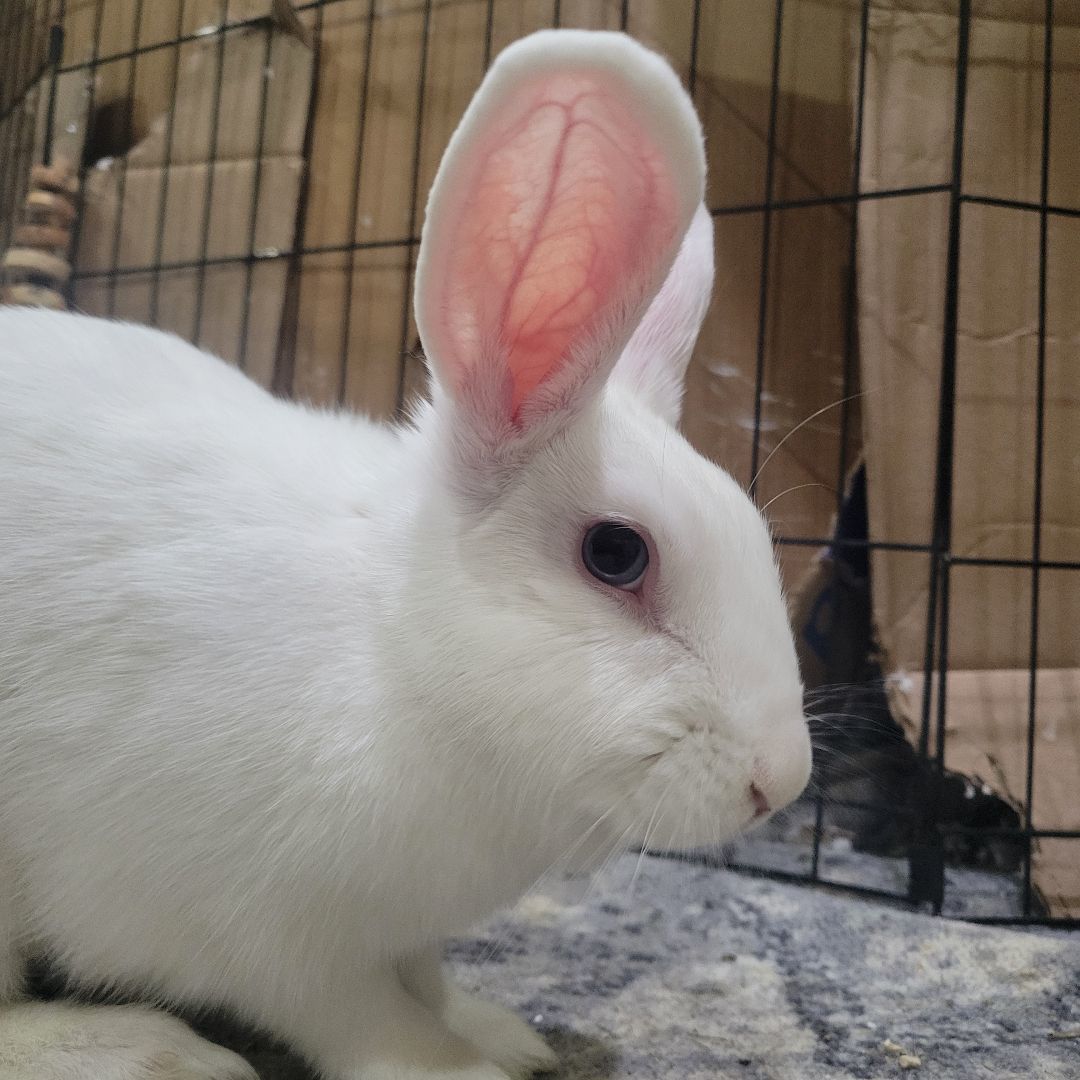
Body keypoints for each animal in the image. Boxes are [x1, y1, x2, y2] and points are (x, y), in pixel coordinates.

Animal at [0, 27, 812, 1080]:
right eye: (617, 554)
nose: (782, 784)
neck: (398, 655)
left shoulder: (400, 932)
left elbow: (424, 980)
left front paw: (500, 1034)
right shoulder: (265, 934)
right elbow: (362, 1019)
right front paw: (459, 1068)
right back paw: (147, 1050)